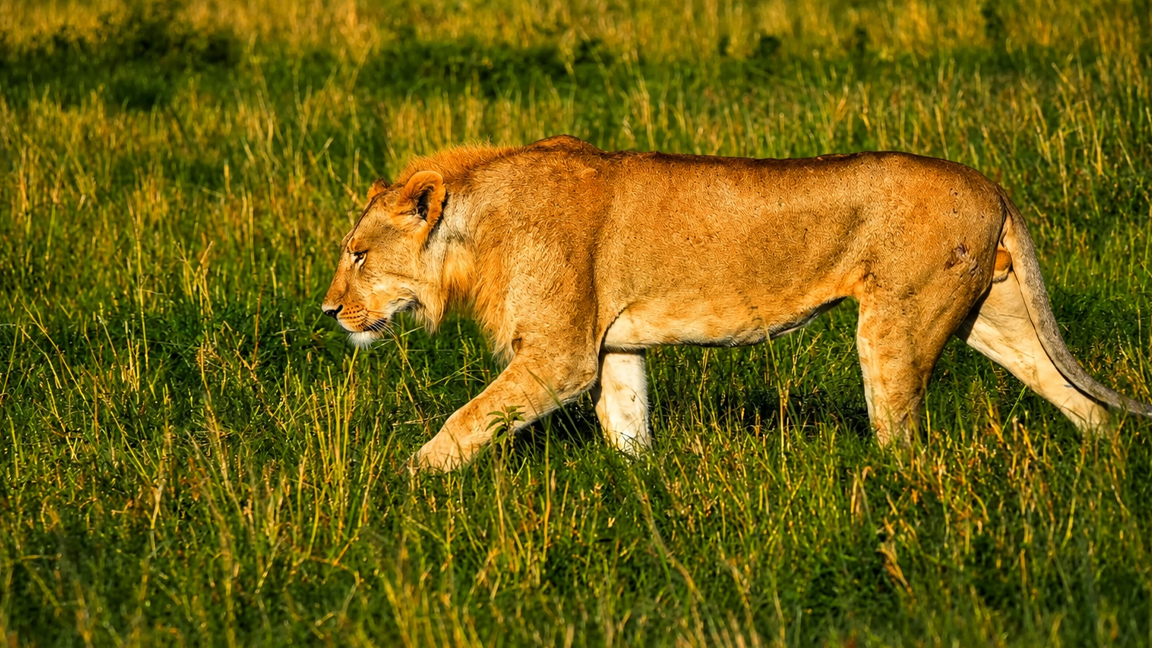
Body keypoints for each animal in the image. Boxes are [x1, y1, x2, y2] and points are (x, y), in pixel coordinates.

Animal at [321, 135, 1152, 472]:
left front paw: (404, 483)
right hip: (996, 317)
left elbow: (466, 421)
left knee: (904, 438)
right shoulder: (612, 343)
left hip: (896, 324)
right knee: (1084, 404)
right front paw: (640, 490)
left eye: (358, 254)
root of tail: (990, 182)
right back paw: (1105, 466)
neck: (477, 229)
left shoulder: (559, 355)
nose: (328, 314)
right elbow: (627, 424)